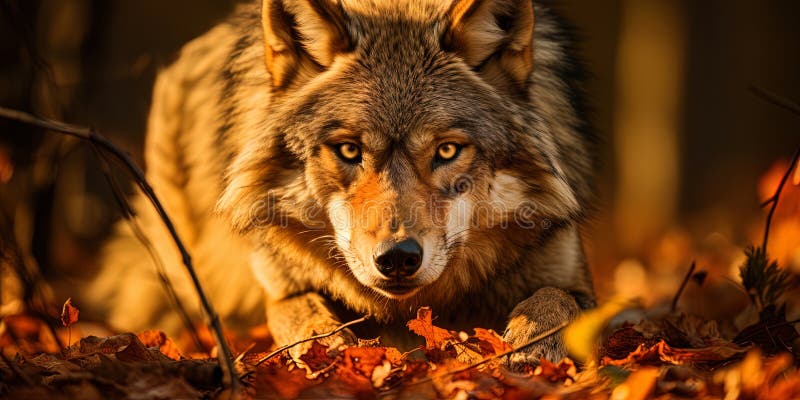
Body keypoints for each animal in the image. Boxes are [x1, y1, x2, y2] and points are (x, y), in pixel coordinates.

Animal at [88, 0, 596, 366]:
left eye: (448, 151)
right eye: (349, 150)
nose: (398, 258)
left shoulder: (572, 277)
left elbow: (556, 302)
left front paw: (530, 349)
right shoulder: (280, 284)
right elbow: (299, 312)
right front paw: (326, 351)